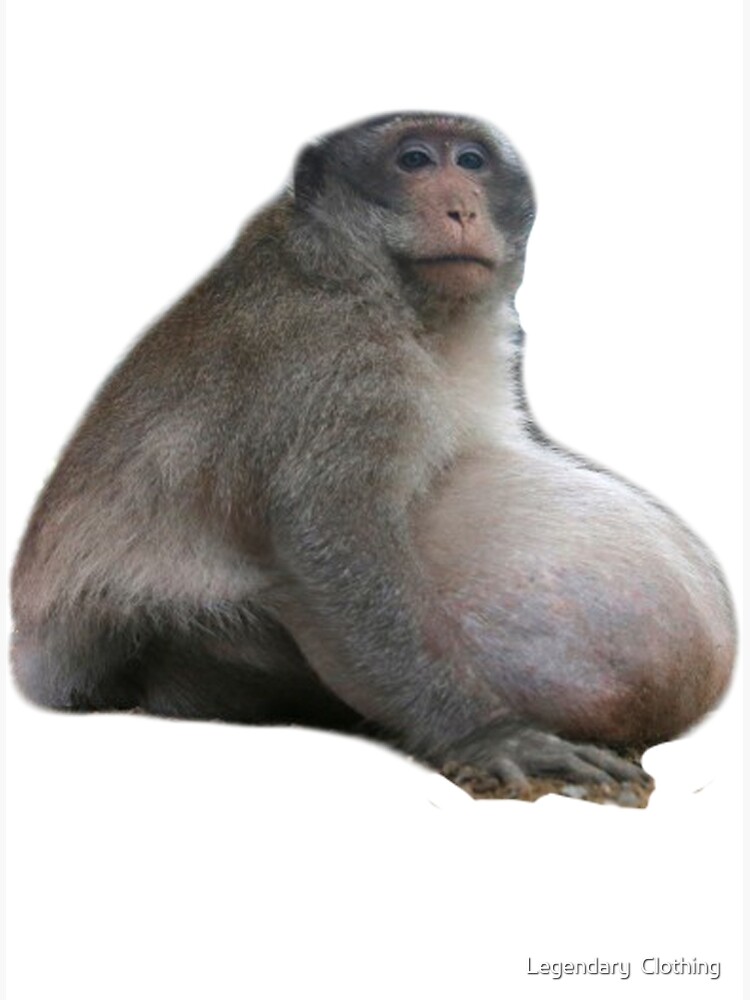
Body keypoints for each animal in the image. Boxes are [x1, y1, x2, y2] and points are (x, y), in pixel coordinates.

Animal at [11, 112, 736, 798]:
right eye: (415, 160)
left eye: (470, 161)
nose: (461, 208)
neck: (377, 287)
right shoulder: (340, 366)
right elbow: (326, 536)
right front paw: (484, 734)